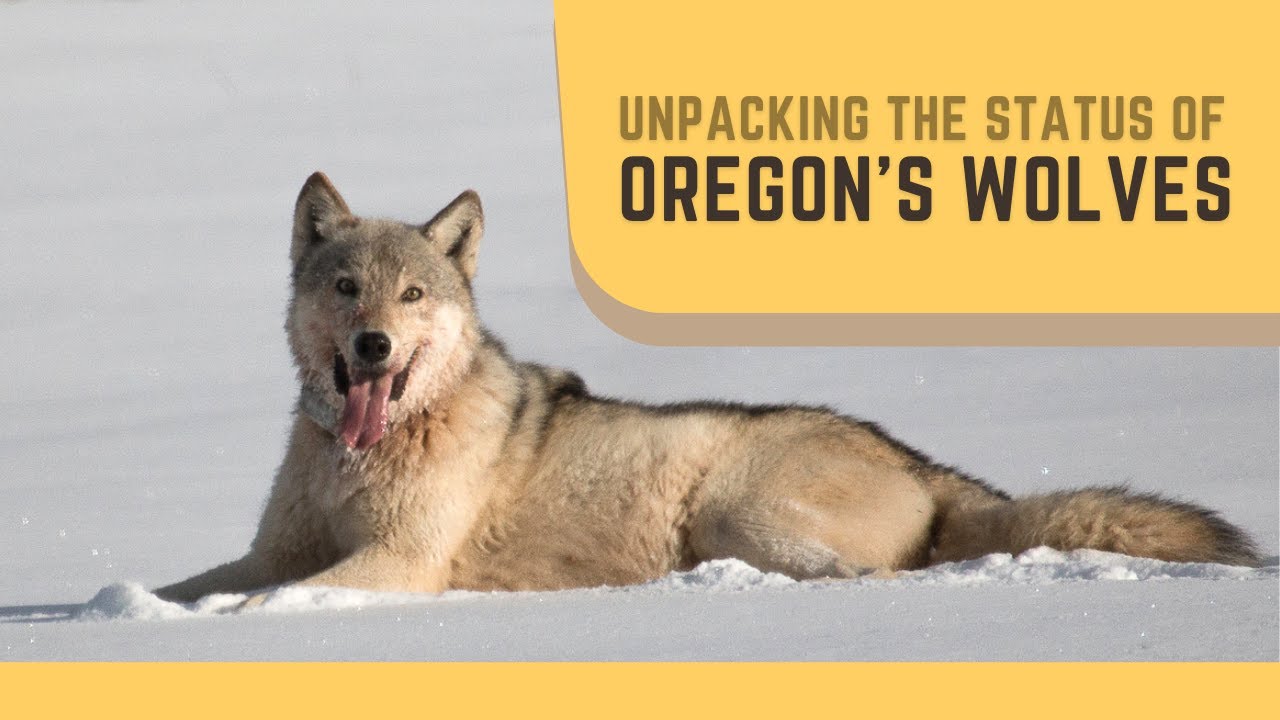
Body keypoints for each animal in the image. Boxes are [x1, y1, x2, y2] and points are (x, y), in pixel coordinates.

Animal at [155, 172, 1259, 601]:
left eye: (414, 293)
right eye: (346, 288)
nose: (376, 345)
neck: (365, 452)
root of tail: (919, 460)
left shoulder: (397, 563)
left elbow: (267, 601)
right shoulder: (275, 549)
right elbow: (187, 588)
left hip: (739, 516)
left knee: (863, 580)